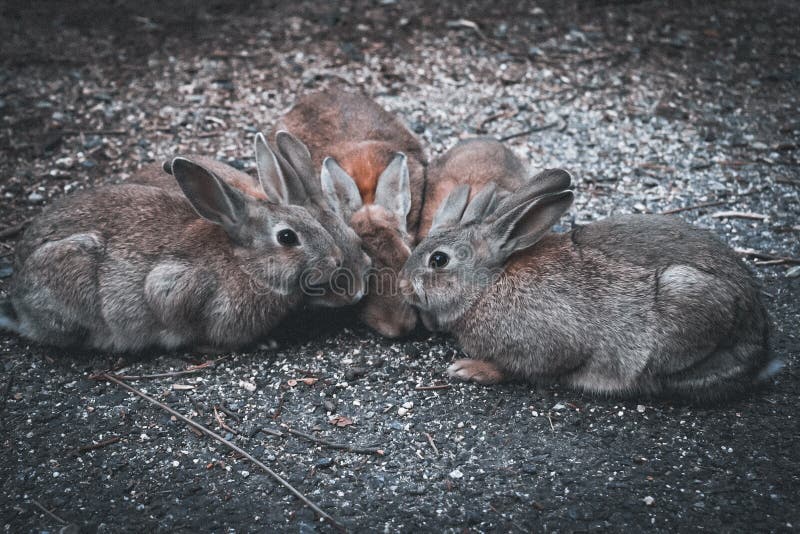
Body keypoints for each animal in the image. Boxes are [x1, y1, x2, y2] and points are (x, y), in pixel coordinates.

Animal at [1, 145, 343, 352]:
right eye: (287, 238)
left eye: (307, 217)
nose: (335, 261)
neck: (244, 262)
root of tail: (20, 304)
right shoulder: (173, 285)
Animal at [399, 170, 776, 402]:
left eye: (438, 260)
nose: (402, 286)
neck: (489, 284)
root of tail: (759, 346)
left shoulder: (549, 344)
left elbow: (518, 368)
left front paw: (468, 369)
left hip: (686, 298)